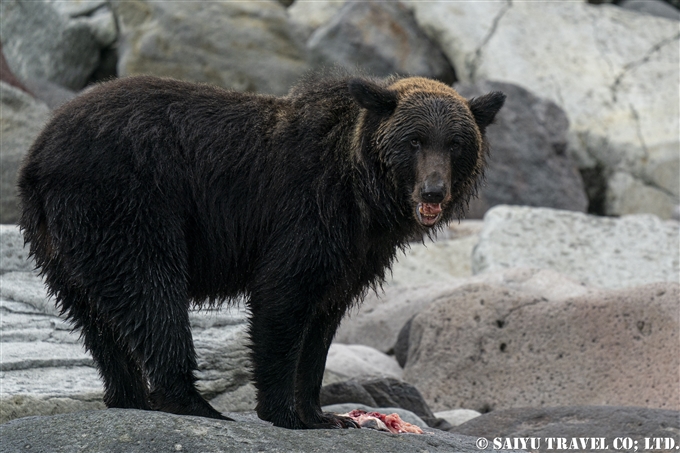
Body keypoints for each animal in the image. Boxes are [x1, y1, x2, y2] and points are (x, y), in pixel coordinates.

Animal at [17, 73, 504, 429]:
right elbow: (282, 300)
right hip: (128, 206)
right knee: (152, 294)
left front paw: (325, 416)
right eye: (415, 140)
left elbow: (322, 324)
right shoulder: (306, 214)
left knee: (95, 318)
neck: (363, 195)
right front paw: (285, 413)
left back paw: (129, 397)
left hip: (61, 244)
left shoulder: (355, 254)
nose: (434, 191)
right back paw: (196, 404)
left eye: (456, 143)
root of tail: (38, 154)